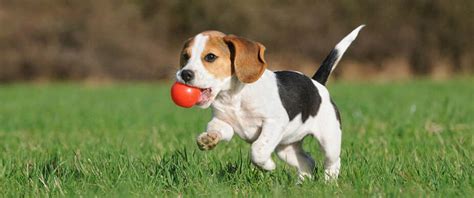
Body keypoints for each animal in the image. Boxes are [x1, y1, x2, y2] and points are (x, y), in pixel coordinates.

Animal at [176, 25, 364, 180]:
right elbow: (216, 128)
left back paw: (329, 183)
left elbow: (258, 149)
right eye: (185, 56)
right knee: (308, 162)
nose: (184, 74)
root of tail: (316, 83)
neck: (234, 97)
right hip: (286, 148)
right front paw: (208, 139)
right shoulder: (223, 122)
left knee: (332, 162)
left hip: (329, 140)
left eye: (210, 57)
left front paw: (268, 166)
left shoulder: (274, 122)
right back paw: (301, 185)